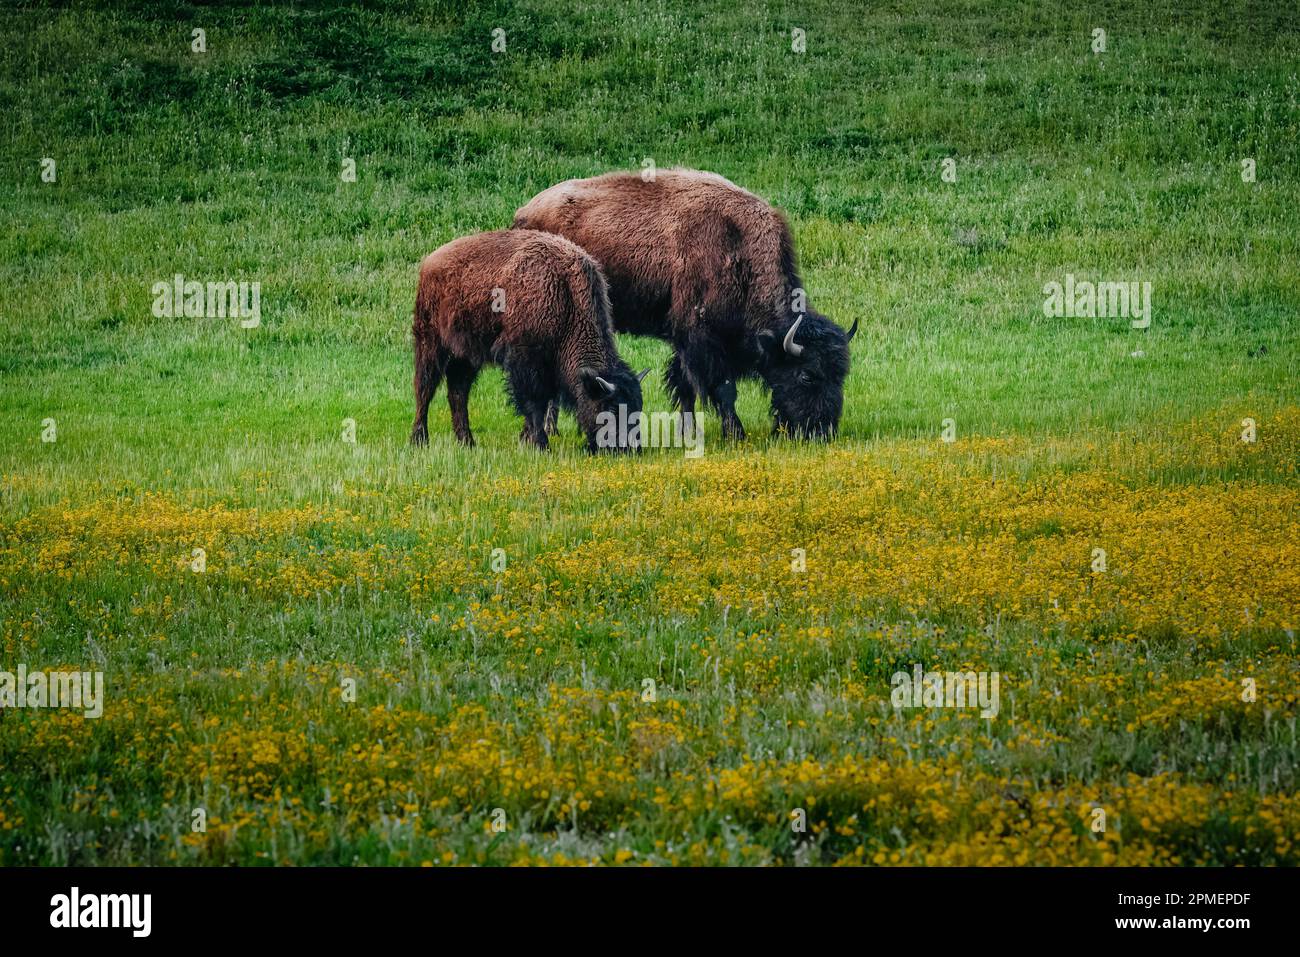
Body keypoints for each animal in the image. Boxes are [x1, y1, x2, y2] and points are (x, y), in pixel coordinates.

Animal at [513, 169, 857, 440]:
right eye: (807, 375)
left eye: (842, 374)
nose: (823, 431)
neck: (736, 246)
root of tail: (524, 213)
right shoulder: (699, 338)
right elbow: (722, 387)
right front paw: (736, 433)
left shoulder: (684, 341)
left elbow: (684, 385)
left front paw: (687, 432)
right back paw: (551, 429)